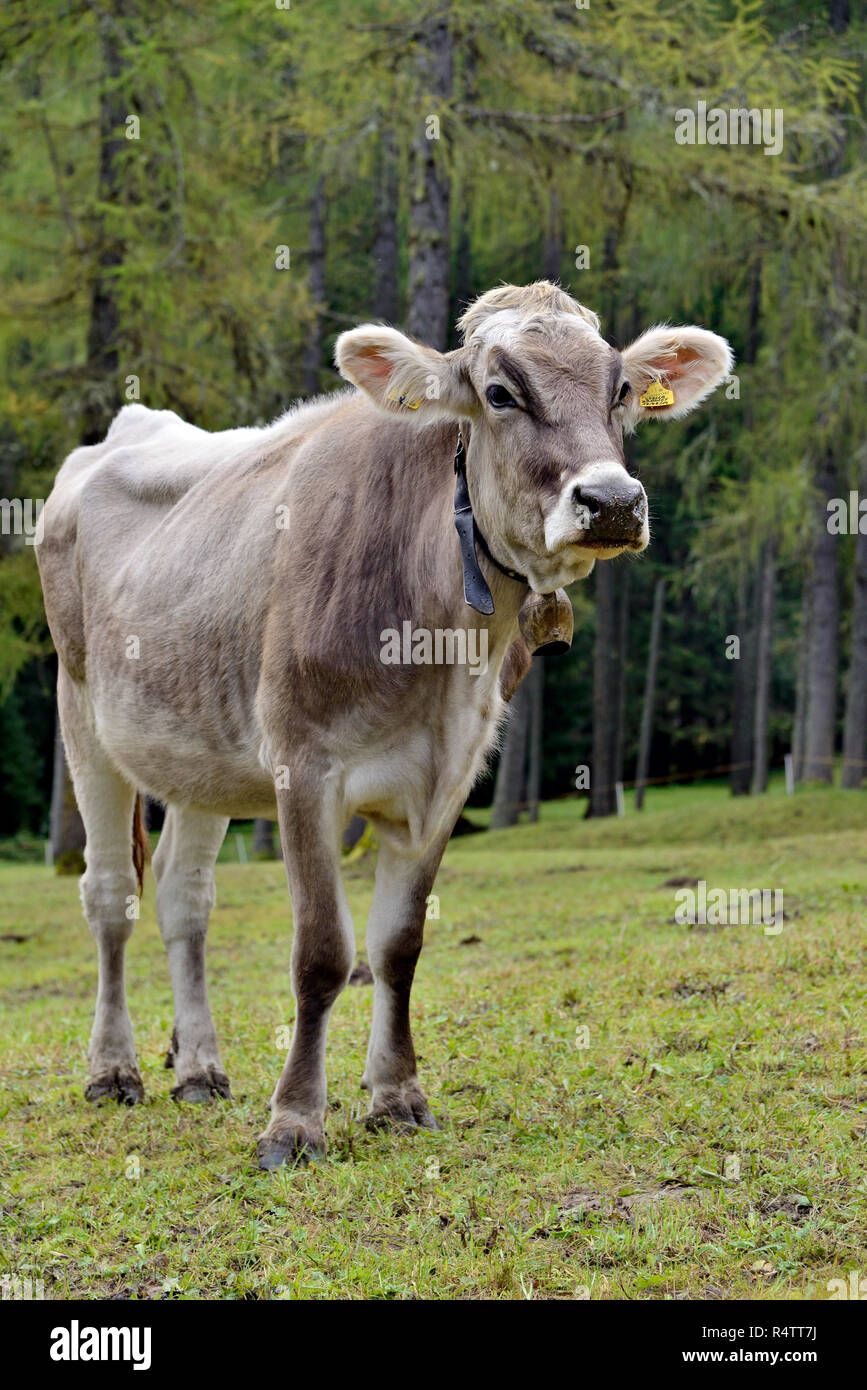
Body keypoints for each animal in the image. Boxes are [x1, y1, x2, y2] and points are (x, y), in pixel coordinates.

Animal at [36, 281, 732, 1169]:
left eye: (620, 391)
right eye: (499, 392)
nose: (611, 501)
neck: (440, 655)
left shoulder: (448, 775)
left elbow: (397, 944)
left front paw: (396, 1096)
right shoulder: (305, 765)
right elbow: (321, 953)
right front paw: (294, 1121)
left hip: (199, 748)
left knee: (183, 895)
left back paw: (198, 1069)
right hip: (82, 708)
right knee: (110, 892)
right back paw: (113, 1070)